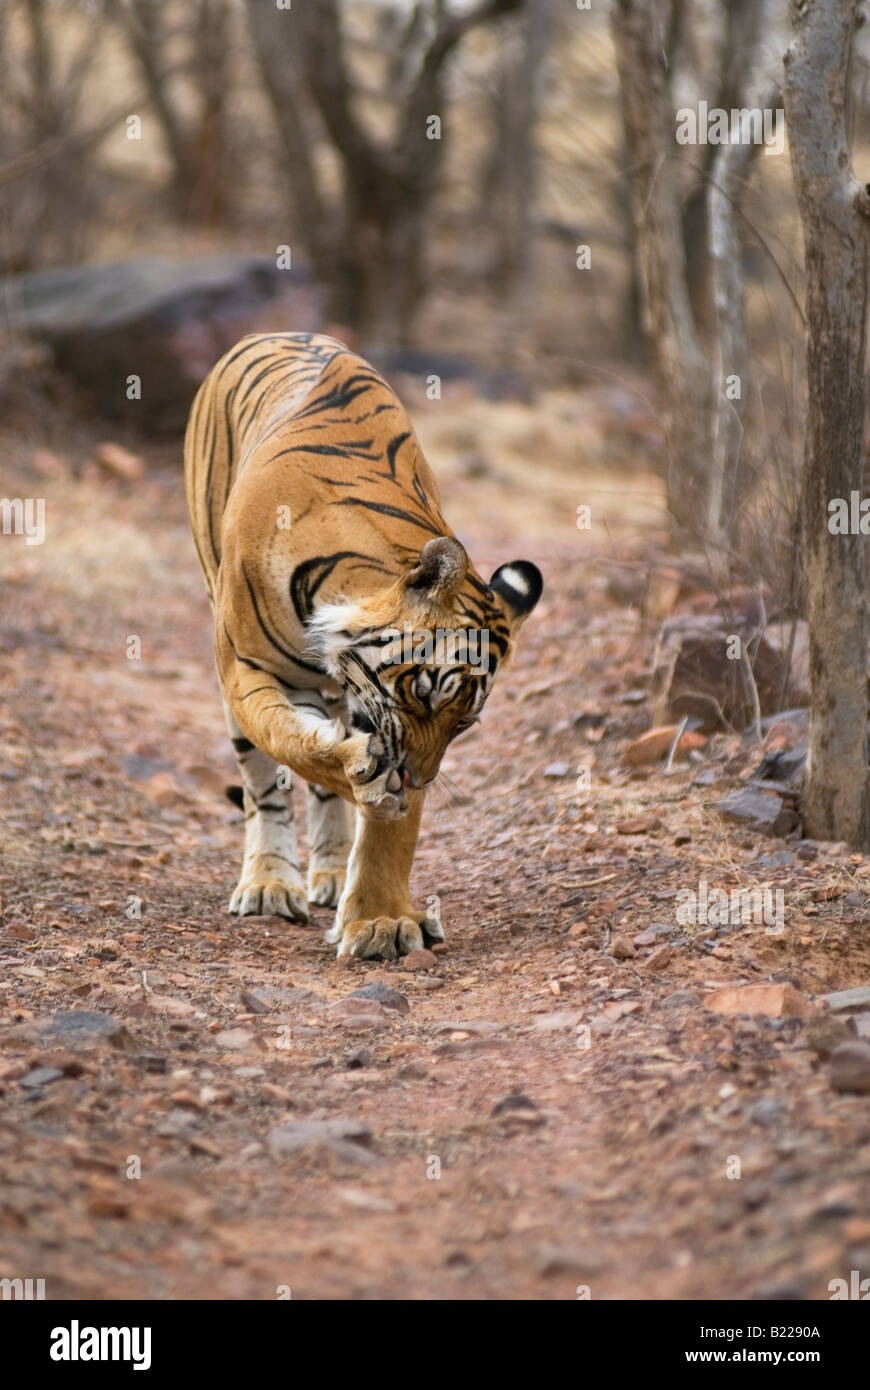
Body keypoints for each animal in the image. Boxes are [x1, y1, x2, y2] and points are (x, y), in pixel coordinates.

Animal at [184, 332, 542, 959]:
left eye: (464, 723)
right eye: (424, 692)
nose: (416, 779)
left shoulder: (373, 711)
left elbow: (388, 829)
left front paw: (381, 921)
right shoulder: (247, 667)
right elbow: (289, 742)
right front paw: (356, 774)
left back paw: (329, 873)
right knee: (263, 784)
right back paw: (270, 883)